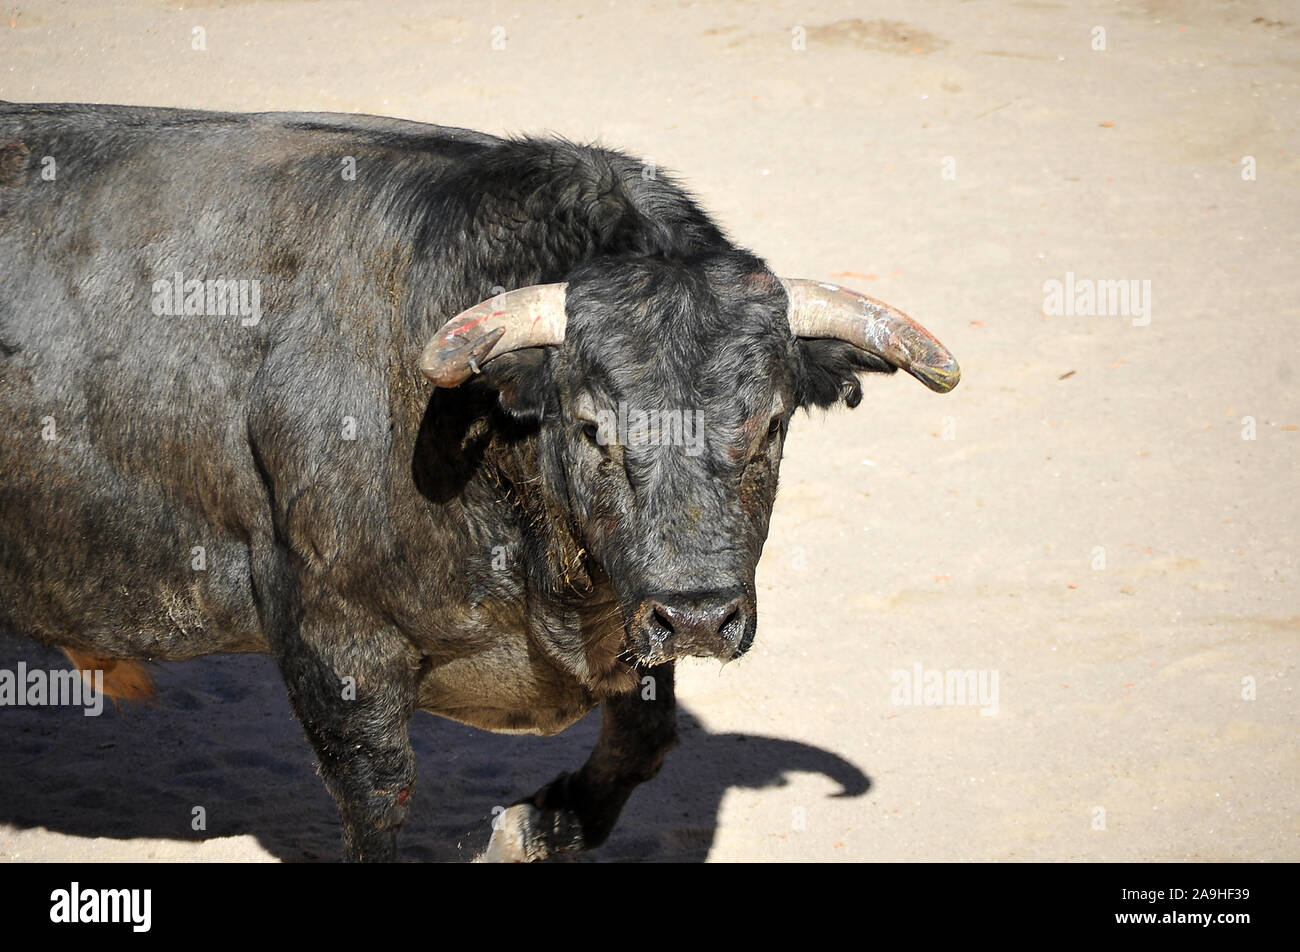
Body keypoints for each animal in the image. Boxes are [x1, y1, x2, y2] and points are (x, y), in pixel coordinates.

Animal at [0, 103, 959, 862]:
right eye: (593, 428)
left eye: (770, 424)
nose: (695, 618)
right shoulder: (331, 636)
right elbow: (378, 793)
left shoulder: (629, 634)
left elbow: (645, 741)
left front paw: (530, 827)